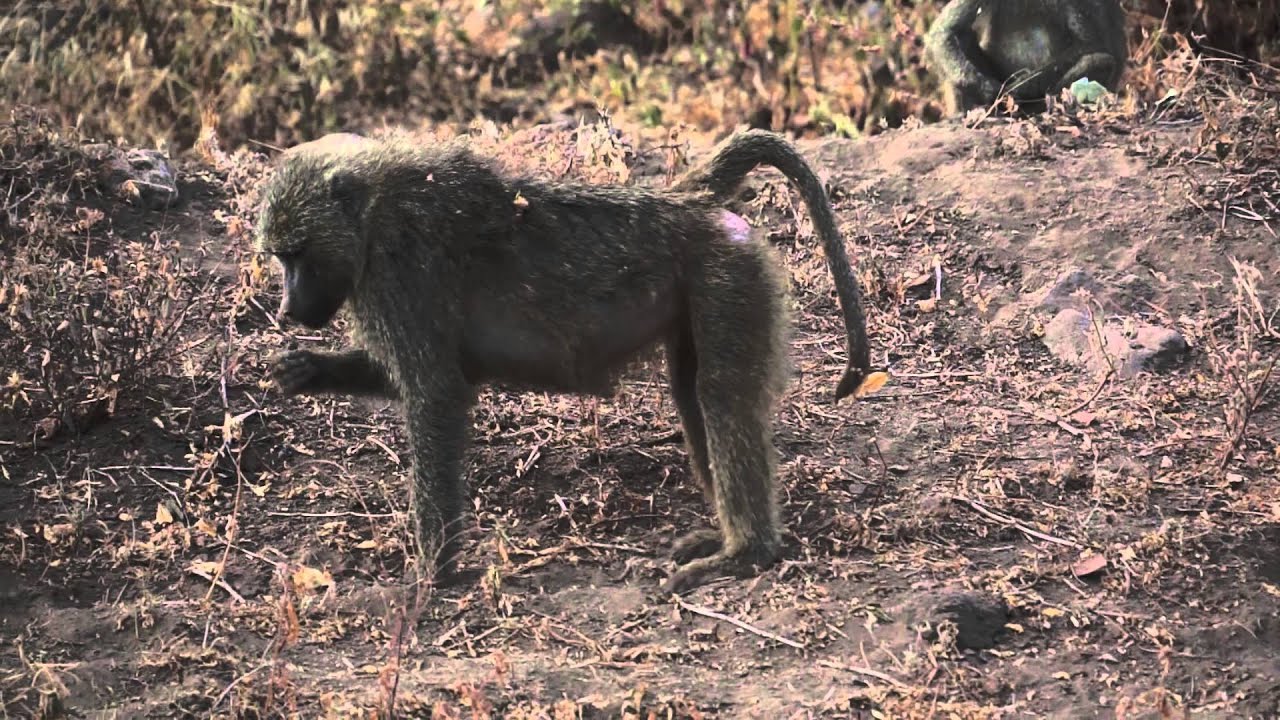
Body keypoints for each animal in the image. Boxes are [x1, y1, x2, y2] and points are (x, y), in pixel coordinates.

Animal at [256, 129, 873, 594]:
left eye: (296, 255)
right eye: (280, 258)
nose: (287, 309)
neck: (371, 210)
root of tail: (685, 203)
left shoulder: (396, 273)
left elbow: (434, 393)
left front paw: (434, 570)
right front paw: (306, 369)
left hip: (728, 272)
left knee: (721, 396)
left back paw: (745, 553)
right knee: (695, 393)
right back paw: (724, 538)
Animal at [924, 0, 1128, 116]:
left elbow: (1089, 43)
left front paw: (1015, 89)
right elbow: (945, 31)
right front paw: (991, 91)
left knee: (1098, 62)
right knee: (961, 37)